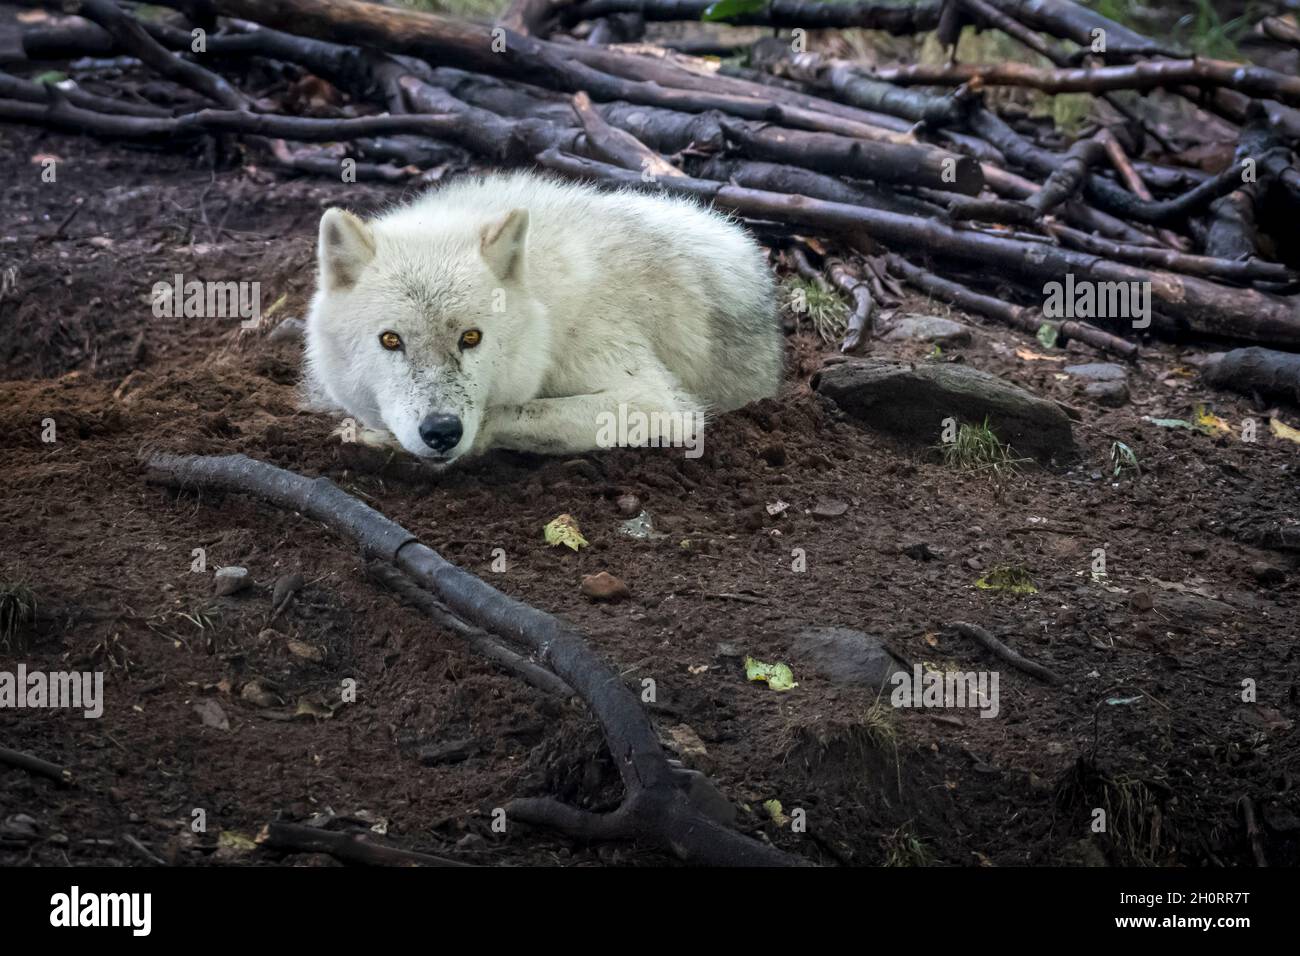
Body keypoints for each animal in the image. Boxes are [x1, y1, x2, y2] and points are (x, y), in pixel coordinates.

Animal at [303, 171, 782, 465]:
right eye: (391, 340)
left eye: (471, 337)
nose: (441, 432)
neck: (546, 314)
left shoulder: (658, 403)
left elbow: (511, 412)